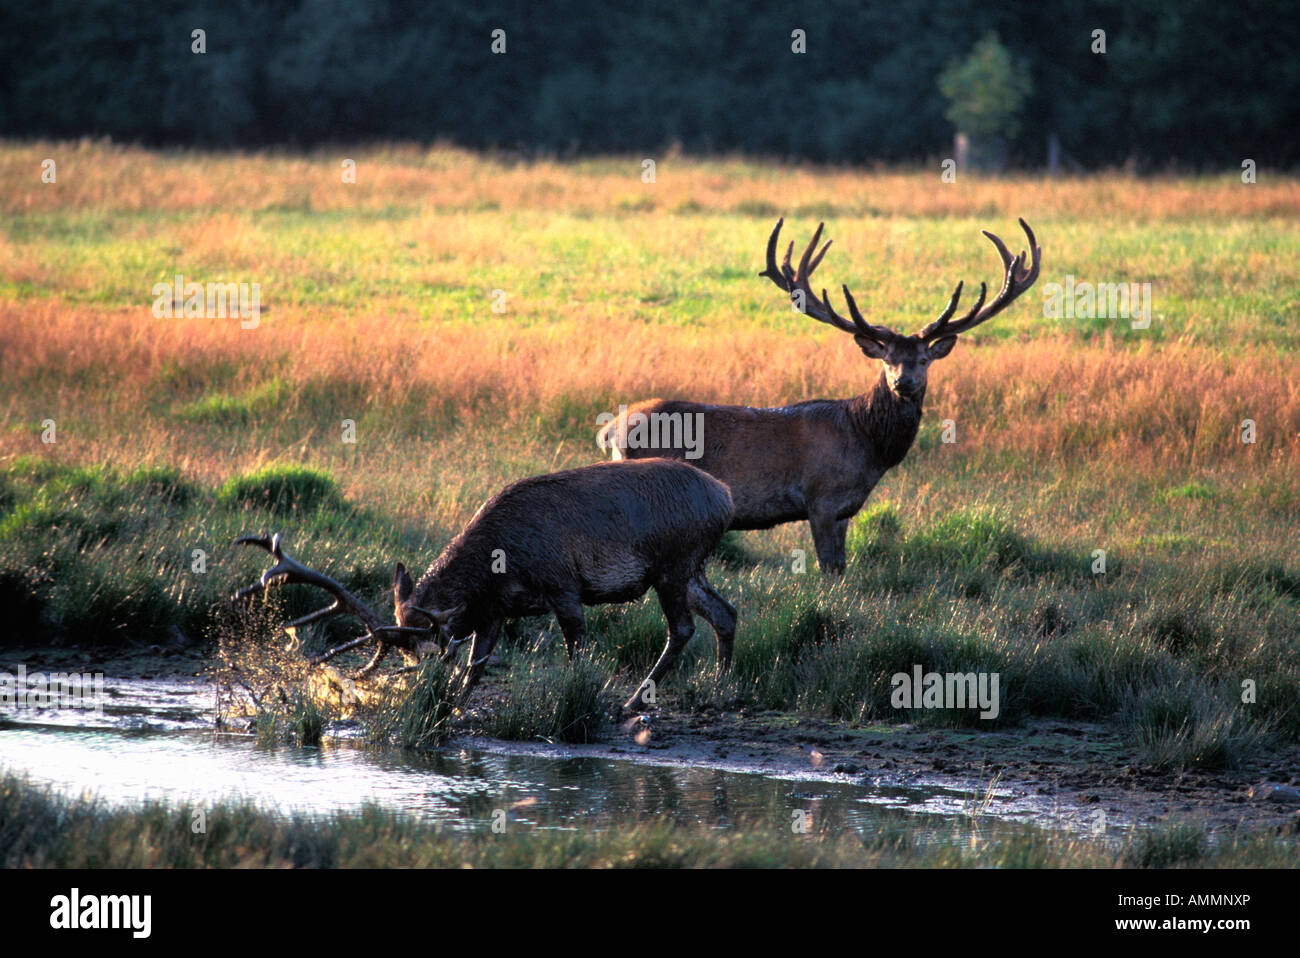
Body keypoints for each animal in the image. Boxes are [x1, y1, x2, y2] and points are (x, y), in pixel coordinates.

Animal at [233, 458, 737, 714]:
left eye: (425, 649)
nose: (419, 684)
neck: (497, 564)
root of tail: (726, 497)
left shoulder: (563, 585)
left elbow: (576, 647)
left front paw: (579, 694)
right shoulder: (496, 610)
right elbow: (476, 665)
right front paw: (452, 707)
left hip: (673, 563)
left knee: (683, 628)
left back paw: (634, 701)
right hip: (691, 569)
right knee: (726, 613)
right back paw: (719, 685)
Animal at [598, 217, 1041, 574]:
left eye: (924, 360)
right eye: (887, 360)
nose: (903, 383)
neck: (868, 444)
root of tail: (611, 429)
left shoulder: (844, 509)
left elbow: (842, 566)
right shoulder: (821, 499)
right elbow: (829, 568)